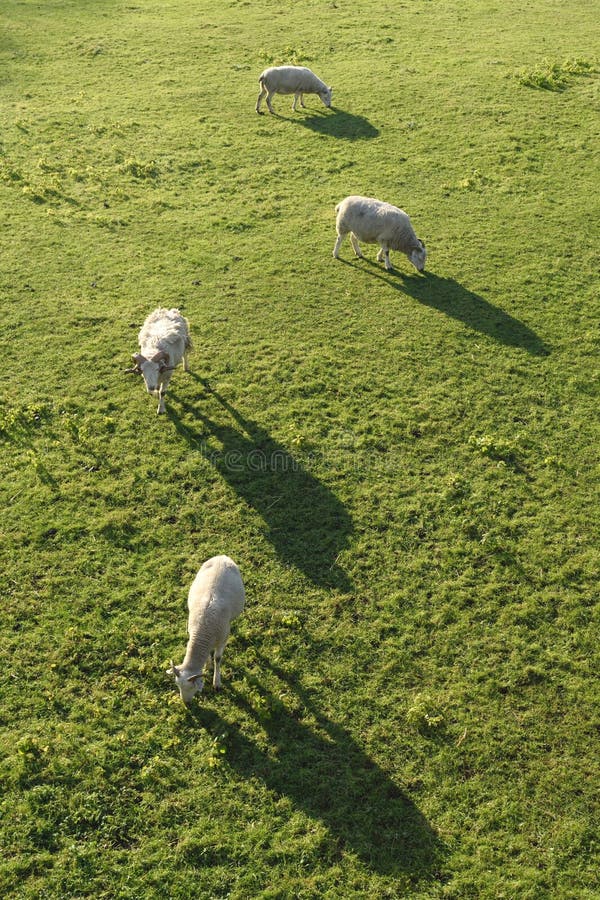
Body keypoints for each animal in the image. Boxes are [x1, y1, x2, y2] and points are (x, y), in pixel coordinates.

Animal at [166, 555, 245, 705]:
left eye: (192, 687)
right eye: (177, 685)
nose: (186, 703)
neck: (203, 631)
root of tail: (222, 556)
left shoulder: (222, 639)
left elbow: (218, 658)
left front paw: (216, 682)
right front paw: (208, 666)